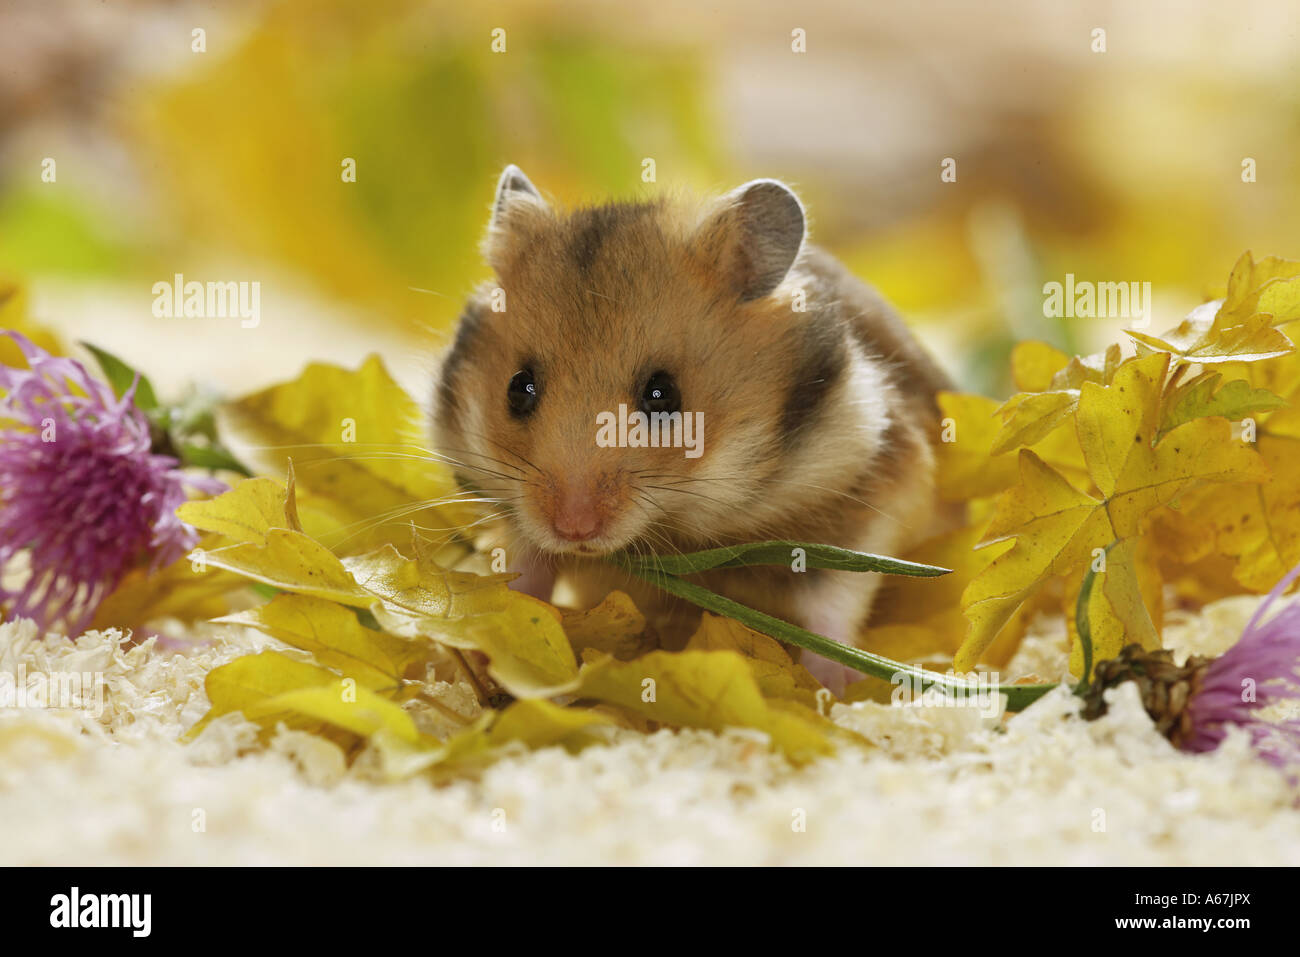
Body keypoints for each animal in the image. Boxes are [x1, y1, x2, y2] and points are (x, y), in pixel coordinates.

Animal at [432, 165, 955, 695]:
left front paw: (829, 687)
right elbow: (528, 572)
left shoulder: (866, 501)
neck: (682, 521)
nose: (574, 529)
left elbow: (835, 604)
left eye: (663, 394)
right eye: (518, 389)